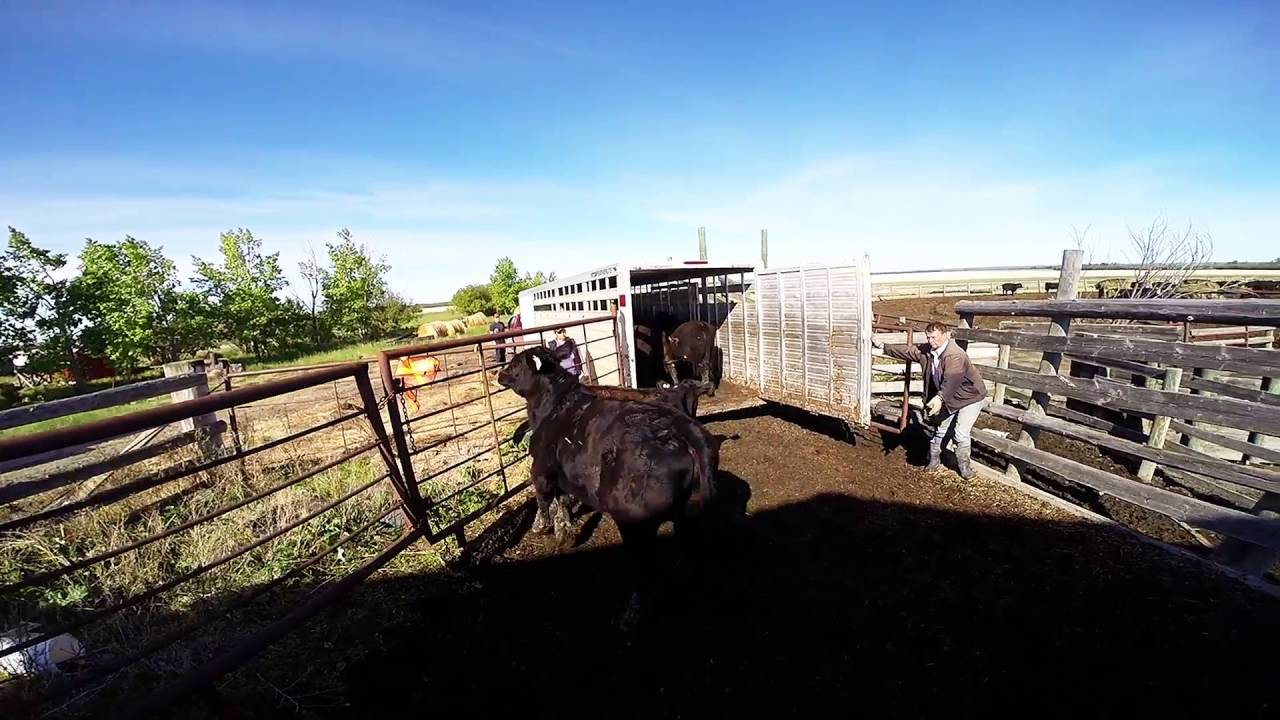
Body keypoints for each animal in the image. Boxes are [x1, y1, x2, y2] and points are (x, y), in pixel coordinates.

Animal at [497, 344, 720, 628]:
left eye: (515, 363)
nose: (500, 373)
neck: (553, 406)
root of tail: (685, 429)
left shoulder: (542, 468)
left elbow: (544, 497)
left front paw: (540, 527)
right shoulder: (566, 476)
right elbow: (563, 501)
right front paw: (564, 534)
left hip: (634, 522)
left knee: (645, 568)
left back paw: (629, 615)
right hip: (689, 512)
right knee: (687, 551)